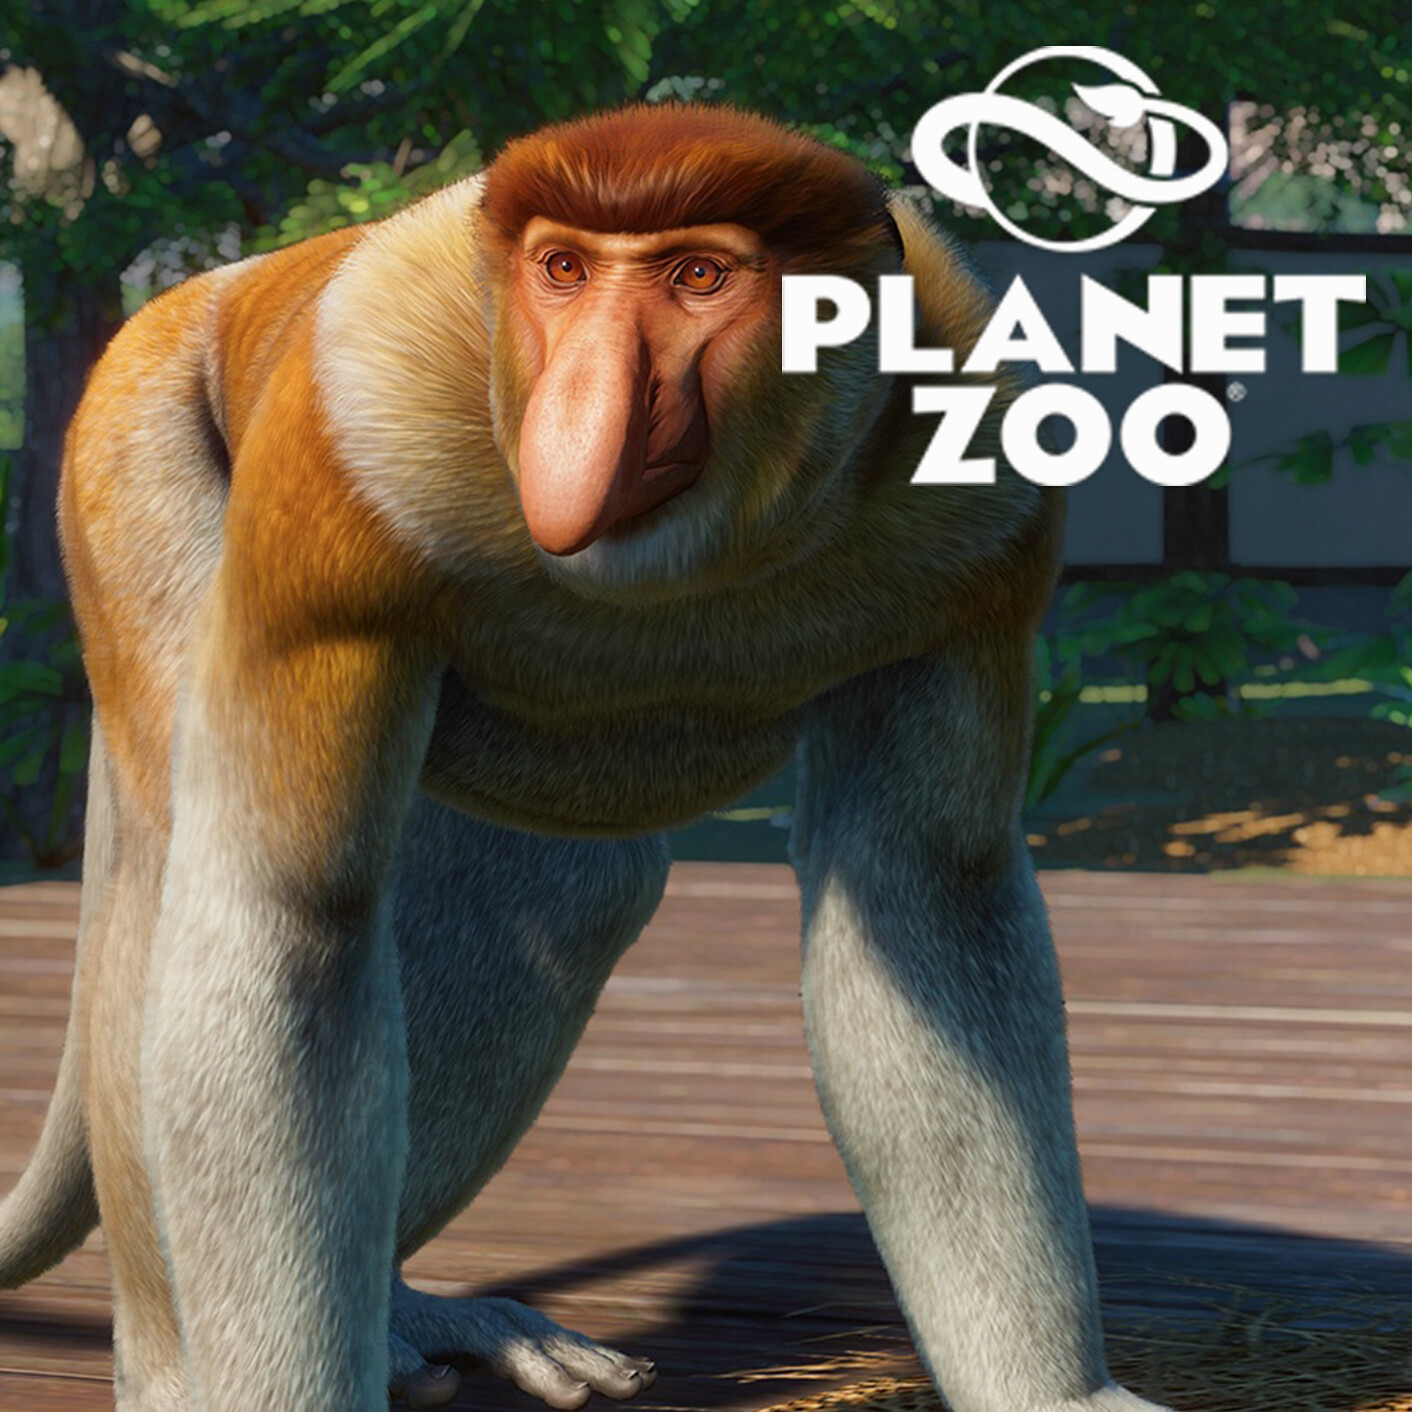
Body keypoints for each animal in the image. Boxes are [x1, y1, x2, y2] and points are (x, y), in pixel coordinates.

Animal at [0, 104, 1176, 1412]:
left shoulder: (980, 532)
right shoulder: (339, 501)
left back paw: (403, 1312)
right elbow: (282, 915)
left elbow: (922, 897)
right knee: (180, 894)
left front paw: (1056, 1392)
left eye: (698, 277)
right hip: (138, 458)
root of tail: (211, 285)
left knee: (561, 891)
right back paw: (186, 1363)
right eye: (561, 272)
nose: (584, 415)